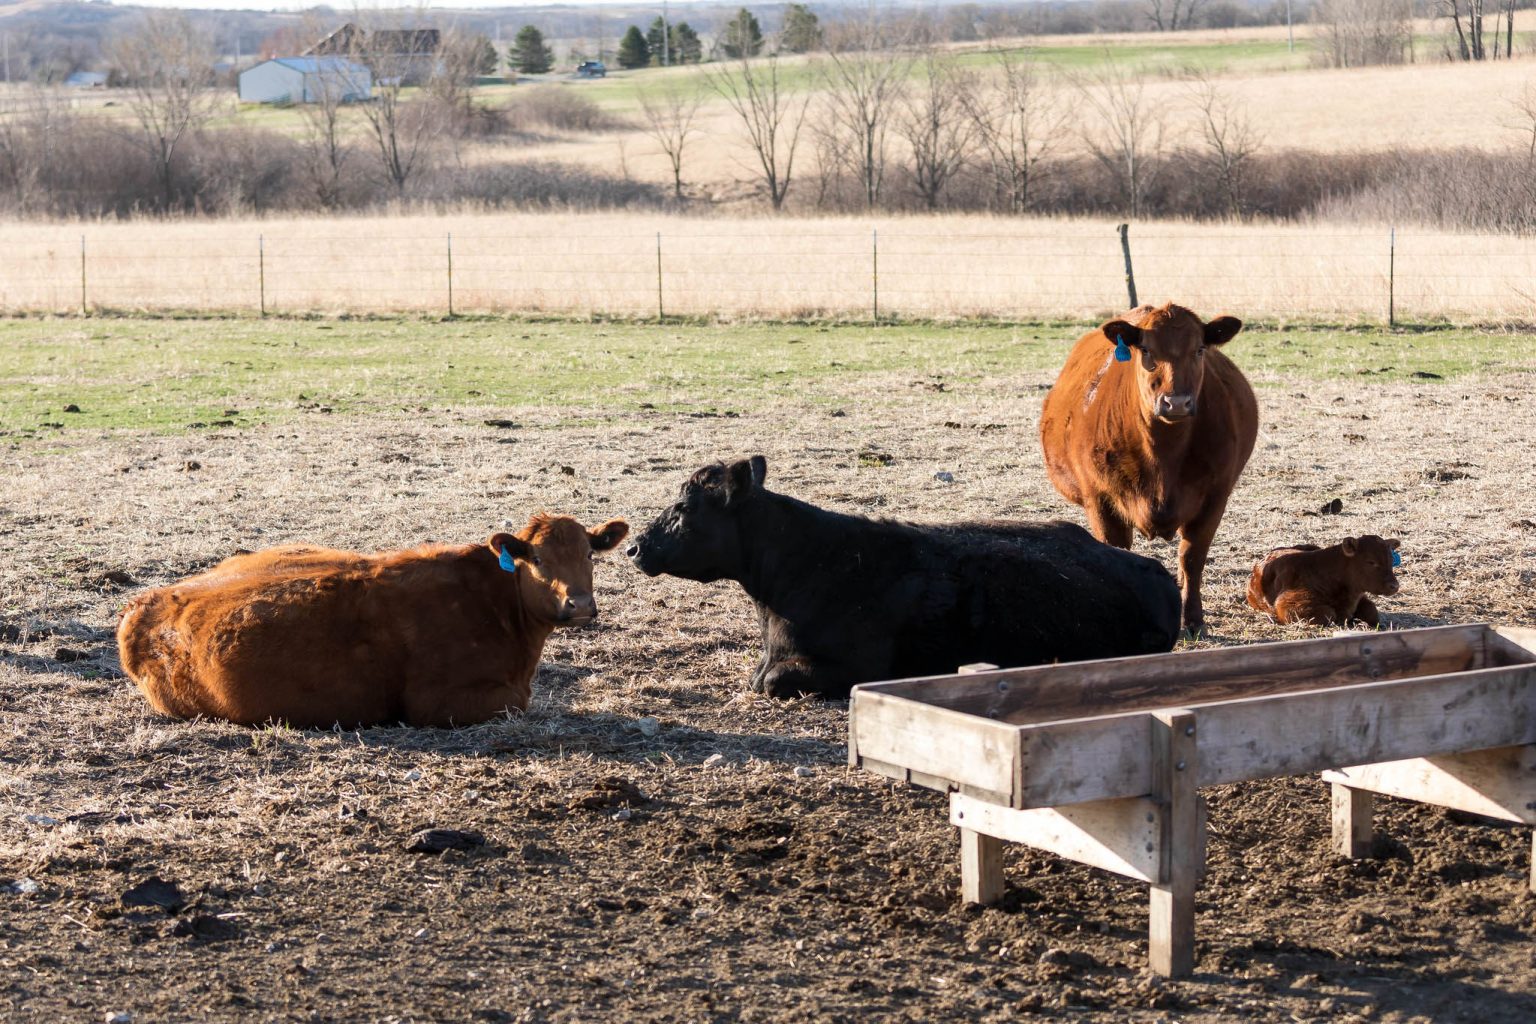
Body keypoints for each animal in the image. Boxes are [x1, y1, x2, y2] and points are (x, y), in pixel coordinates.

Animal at [116, 514, 629, 728]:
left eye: (589, 554)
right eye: (537, 559)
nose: (580, 604)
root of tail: (146, 602)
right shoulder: (438, 702)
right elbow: (519, 703)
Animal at [1040, 302, 1259, 636]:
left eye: (1199, 349)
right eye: (1145, 349)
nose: (1176, 403)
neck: (1163, 456)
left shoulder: (1215, 497)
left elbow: (1192, 557)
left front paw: (1193, 620)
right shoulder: (1100, 500)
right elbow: (1116, 553)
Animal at [1246, 535, 1402, 628]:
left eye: (1391, 560)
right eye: (1370, 562)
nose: (1394, 586)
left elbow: (1371, 611)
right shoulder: (1287, 604)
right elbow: (1328, 614)